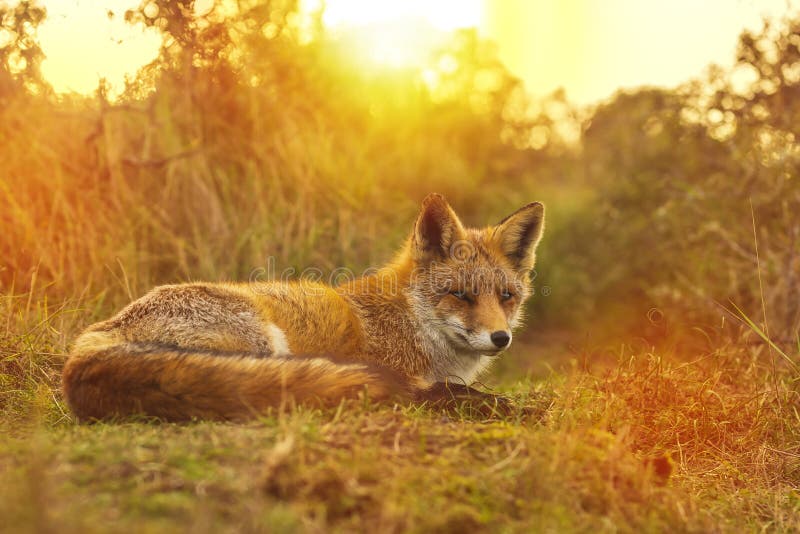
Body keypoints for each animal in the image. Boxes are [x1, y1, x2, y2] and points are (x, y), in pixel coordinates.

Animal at [62, 193, 545, 421]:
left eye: (506, 296)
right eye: (460, 295)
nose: (500, 338)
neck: (411, 322)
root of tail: (93, 340)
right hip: (265, 340)